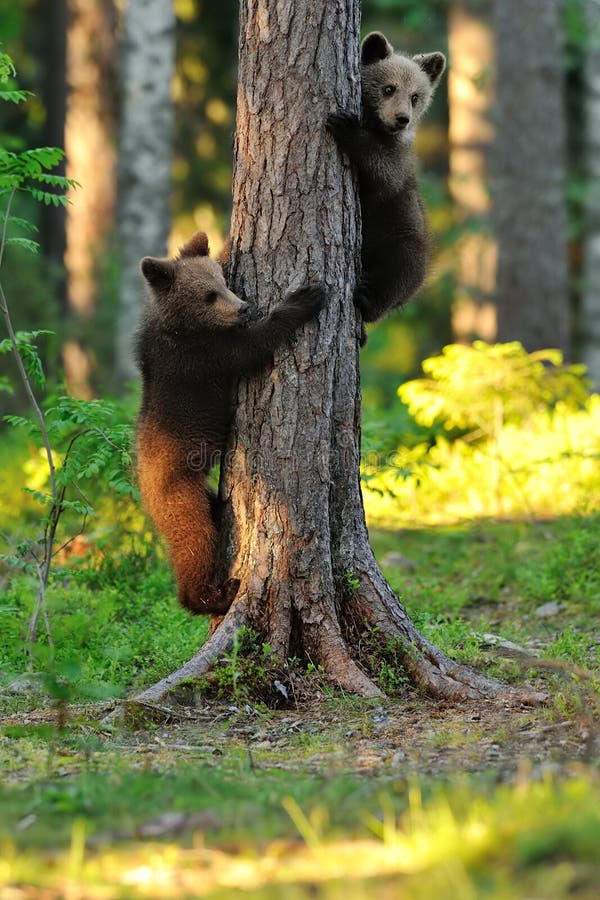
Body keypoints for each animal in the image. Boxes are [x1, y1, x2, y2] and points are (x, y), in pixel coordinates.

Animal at [135, 231, 326, 614]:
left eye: (224, 282)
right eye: (209, 295)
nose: (244, 307)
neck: (181, 326)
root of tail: (146, 494)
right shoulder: (202, 357)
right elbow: (251, 346)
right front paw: (304, 299)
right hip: (181, 492)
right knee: (195, 541)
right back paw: (213, 595)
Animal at [327, 31, 446, 334]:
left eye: (415, 96)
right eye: (389, 88)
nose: (401, 118)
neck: (377, 126)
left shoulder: (397, 165)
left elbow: (383, 171)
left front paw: (345, 126)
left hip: (403, 237)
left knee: (399, 273)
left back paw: (367, 297)